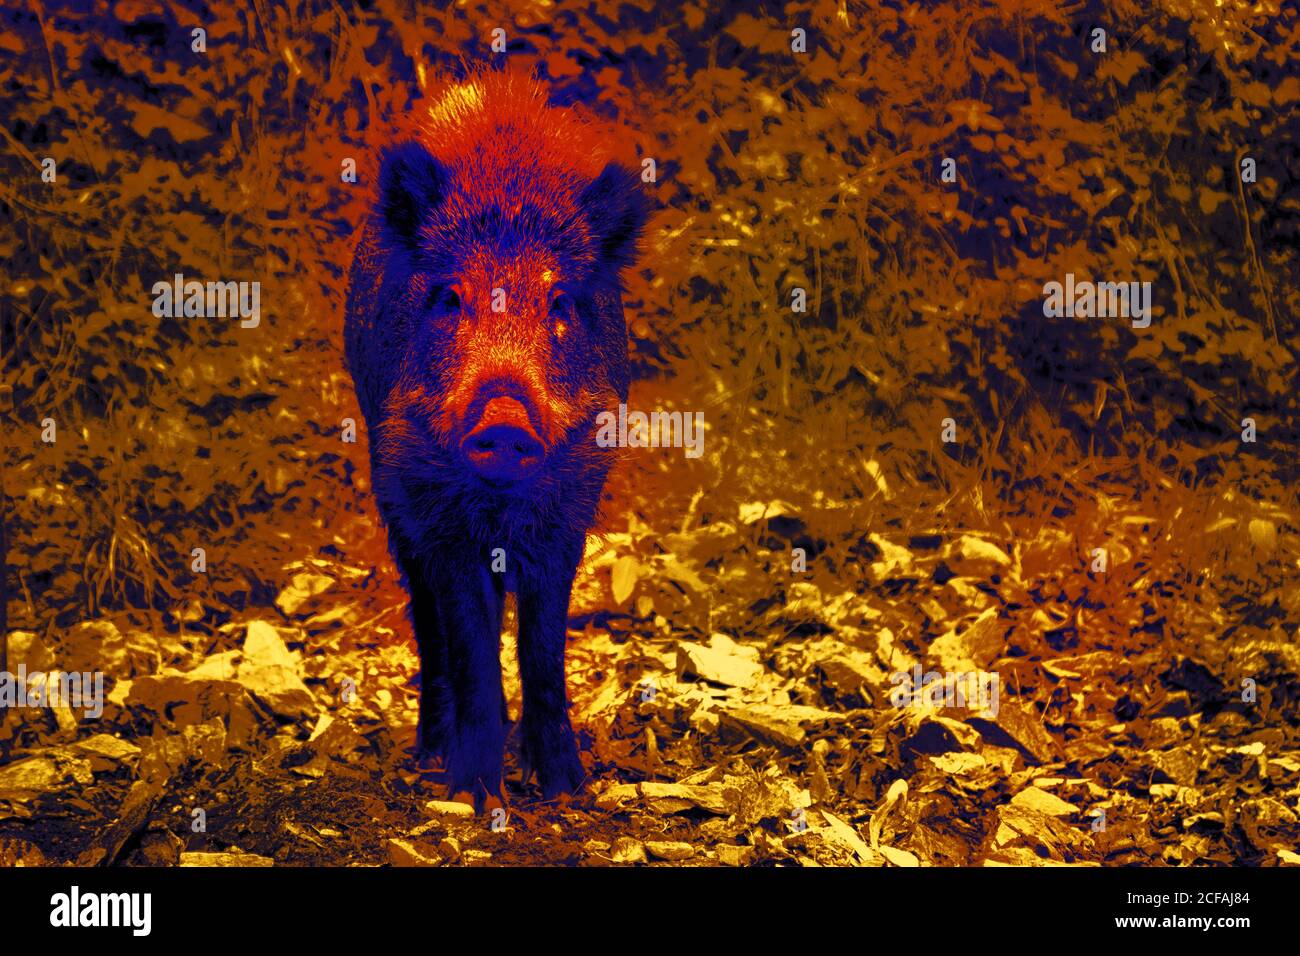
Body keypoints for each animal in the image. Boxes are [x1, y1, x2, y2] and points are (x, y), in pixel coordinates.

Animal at [344, 70, 648, 809]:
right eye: (452, 297)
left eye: (560, 301)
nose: (505, 417)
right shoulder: (432, 512)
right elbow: (471, 642)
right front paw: (477, 796)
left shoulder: (570, 508)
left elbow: (543, 643)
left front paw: (565, 789)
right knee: (427, 623)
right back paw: (429, 751)